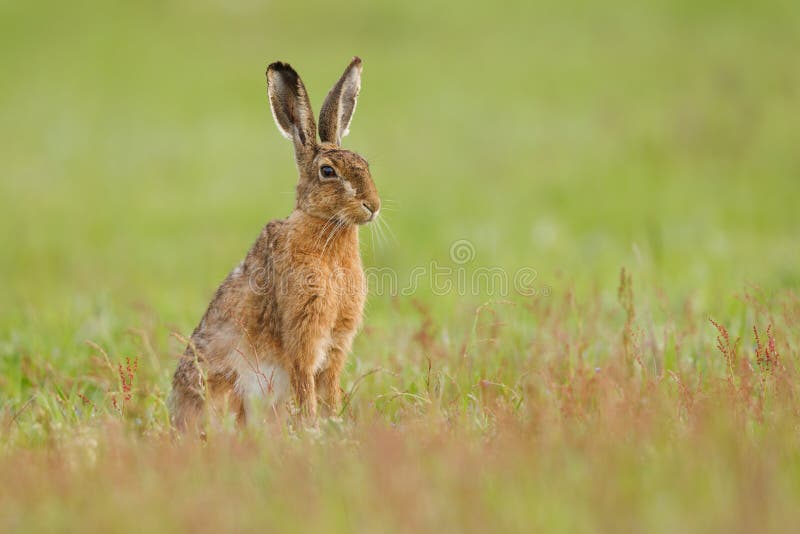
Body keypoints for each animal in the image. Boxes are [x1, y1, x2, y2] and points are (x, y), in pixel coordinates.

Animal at [169, 57, 380, 432]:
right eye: (328, 171)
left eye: (365, 165)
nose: (373, 205)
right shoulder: (303, 332)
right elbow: (305, 382)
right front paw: (314, 428)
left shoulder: (337, 342)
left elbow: (329, 387)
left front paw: (333, 423)